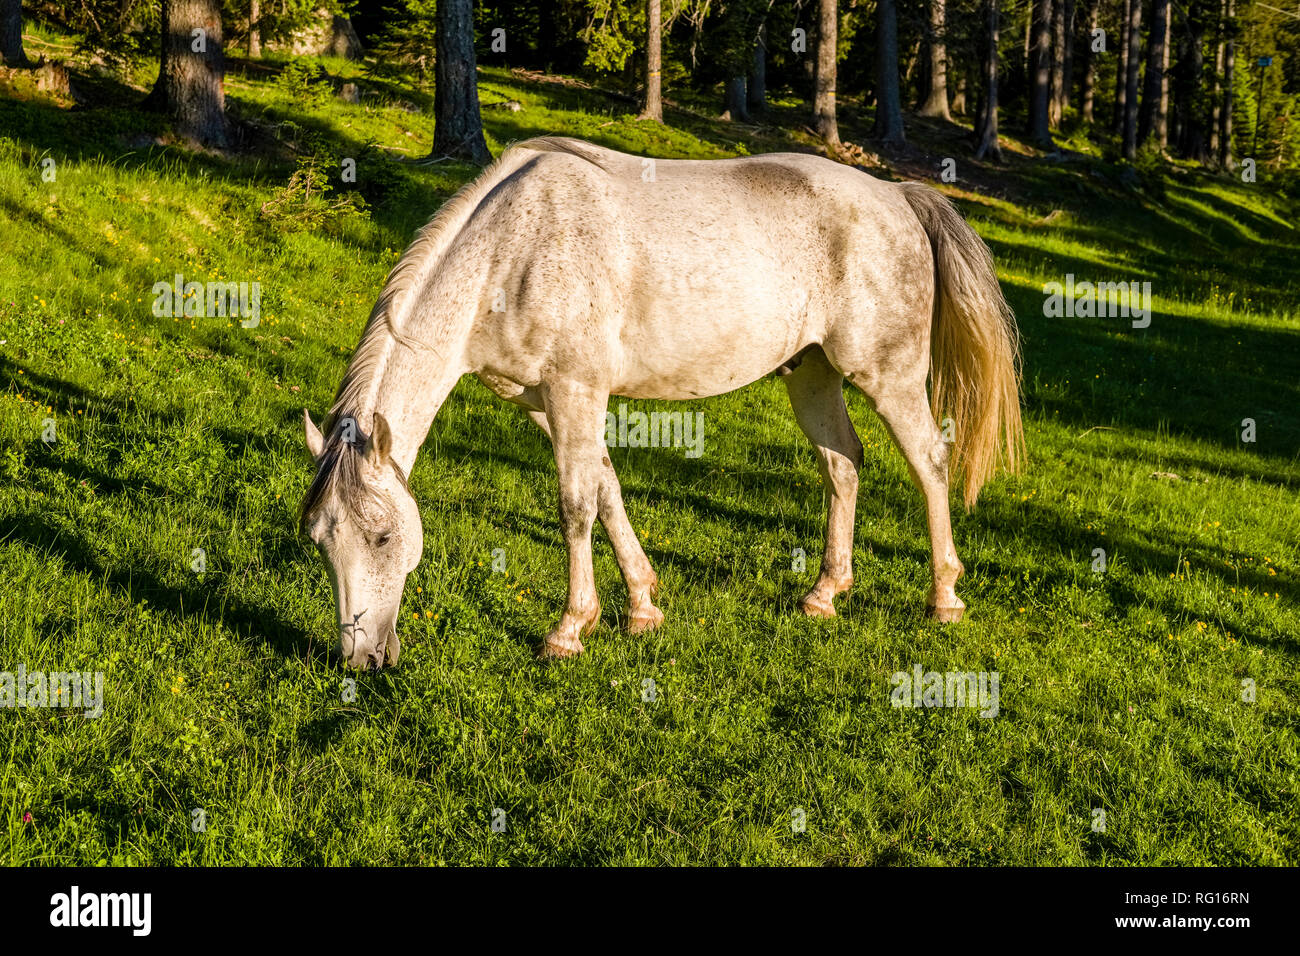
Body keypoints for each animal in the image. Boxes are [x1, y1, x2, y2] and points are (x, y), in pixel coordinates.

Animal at [299, 137, 1023, 669]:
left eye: (384, 536)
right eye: (319, 541)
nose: (360, 659)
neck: (510, 254)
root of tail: (897, 195)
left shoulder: (575, 391)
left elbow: (575, 506)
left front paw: (569, 629)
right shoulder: (544, 400)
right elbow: (607, 490)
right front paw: (643, 606)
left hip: (887, 375)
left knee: (930, 461)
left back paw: (944, 596)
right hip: (812, 375)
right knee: (843, 463)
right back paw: (823, 594)